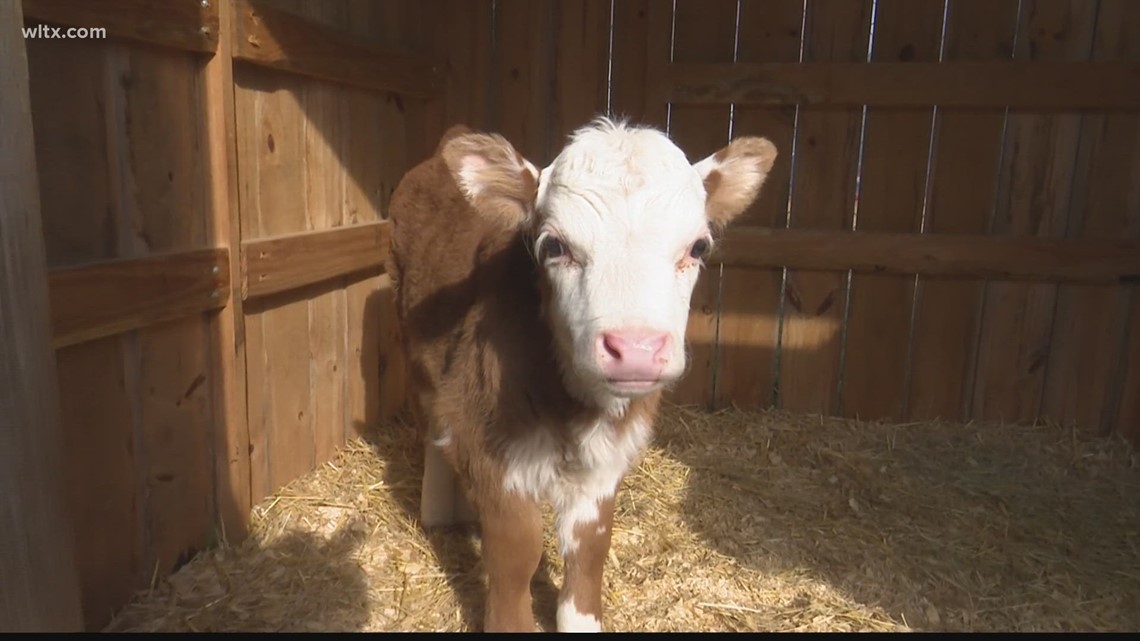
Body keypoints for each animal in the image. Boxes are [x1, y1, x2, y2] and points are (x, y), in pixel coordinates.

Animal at [386, 116, 776, 632]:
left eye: (698, 246)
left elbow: (590, 549)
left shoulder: (607, 460)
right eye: (555, 245)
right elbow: (517, 552)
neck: (574, 408)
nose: (635, 349)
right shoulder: (489, 446)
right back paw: (438, 511)